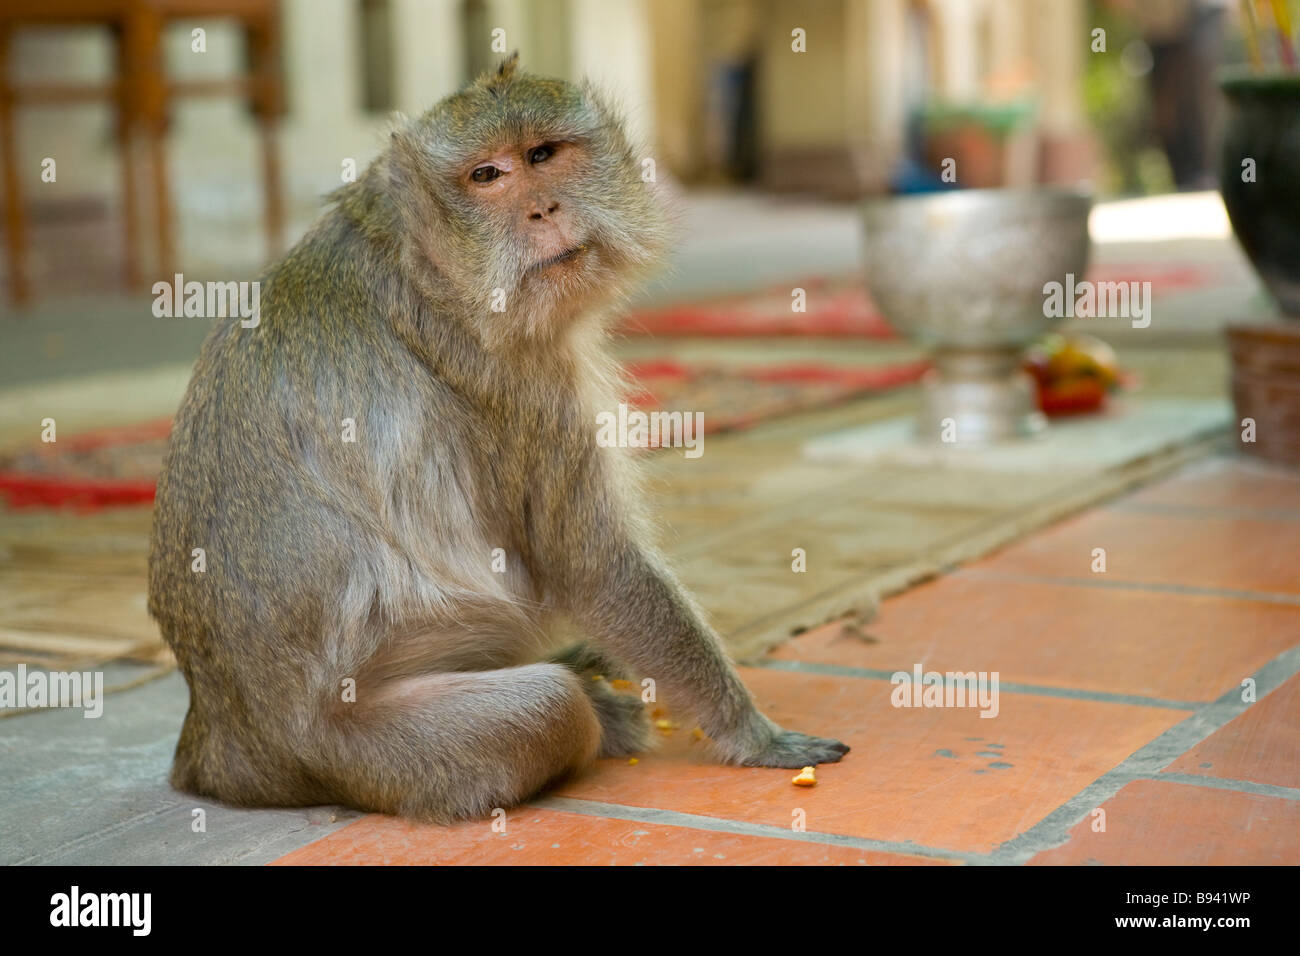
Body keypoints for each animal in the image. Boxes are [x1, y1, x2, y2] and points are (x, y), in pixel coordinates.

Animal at [147, 55, 848, 823]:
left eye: (541, 156)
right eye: (487, 176)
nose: (543, 211)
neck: (422, 260)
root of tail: (219, 747)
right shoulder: (518, 378)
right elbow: (590, 565)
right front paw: (752, 733)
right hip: (353, 753)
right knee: (548, 707)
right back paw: (591, 714)